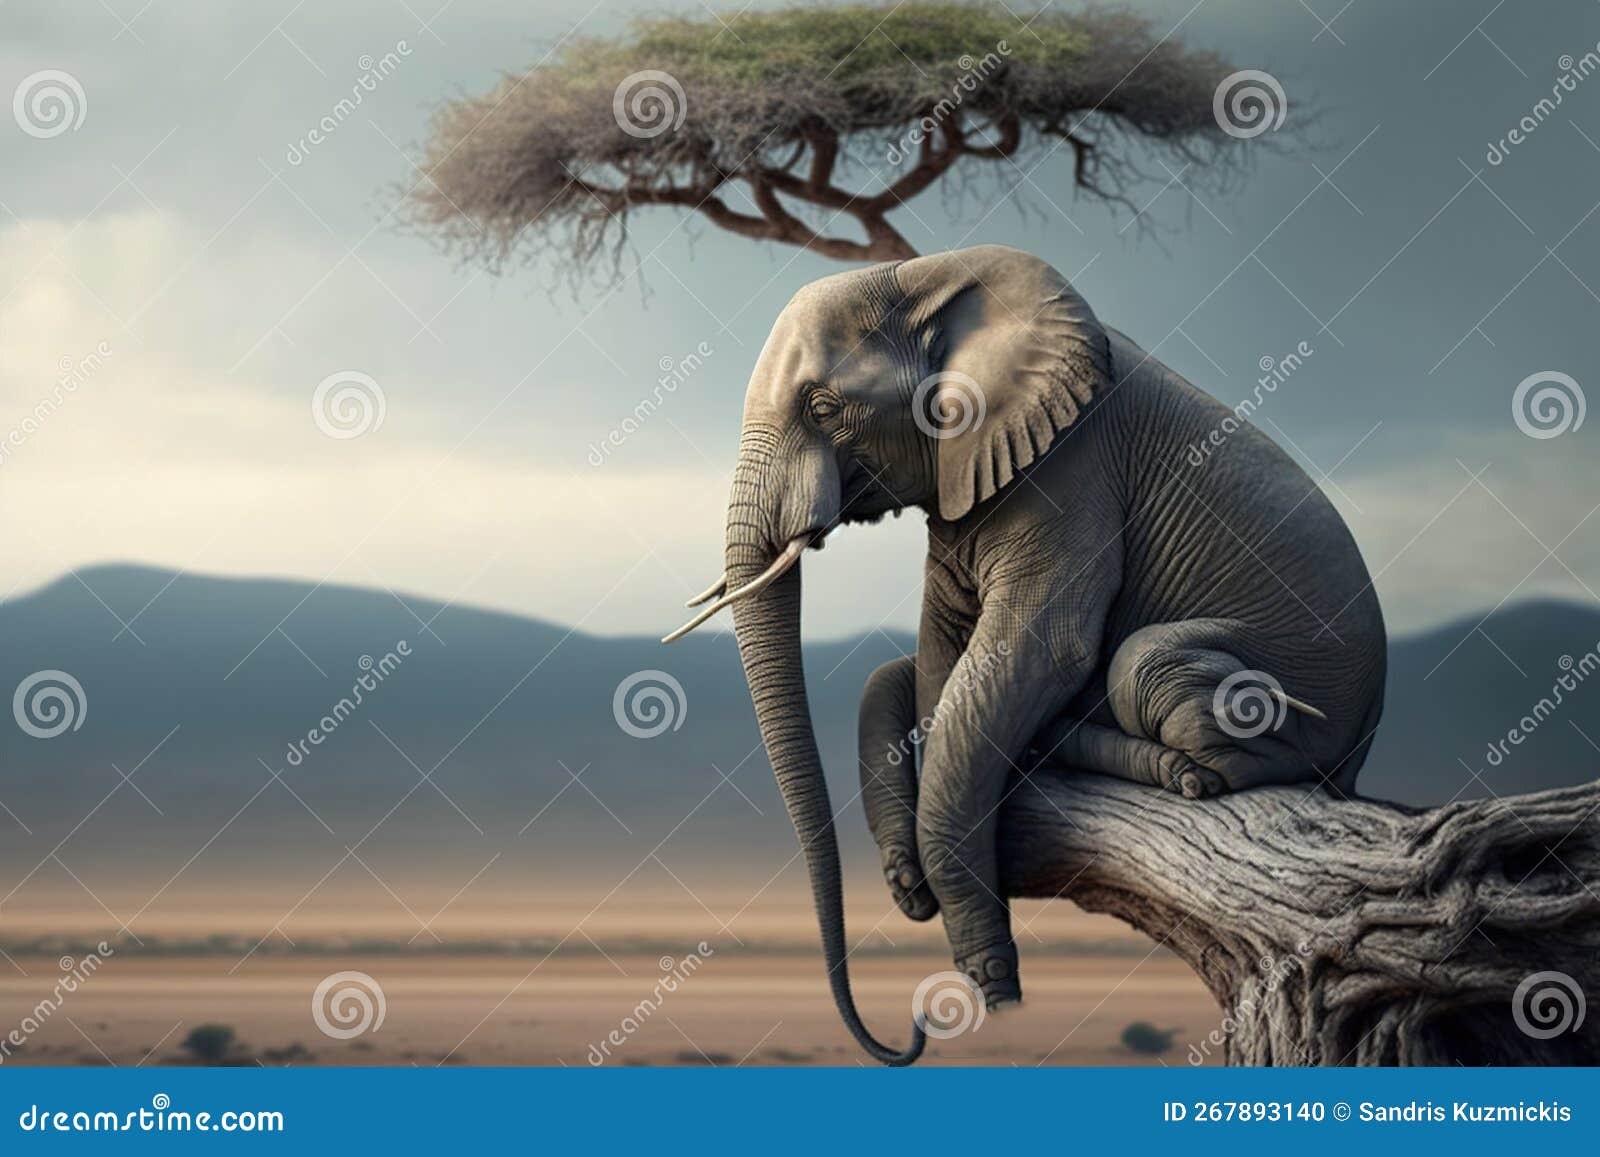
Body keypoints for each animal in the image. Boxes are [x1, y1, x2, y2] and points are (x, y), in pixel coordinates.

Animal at [663, 244, 1387, 1066]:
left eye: (821, 407)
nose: (930, 1020)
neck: (931, 277)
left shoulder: (1074, 467)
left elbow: (1041, 645)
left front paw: (986, 969)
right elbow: (940, 647)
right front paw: (922, 891)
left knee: (1147, 669)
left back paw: (1156, 767)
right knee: (890, 676)